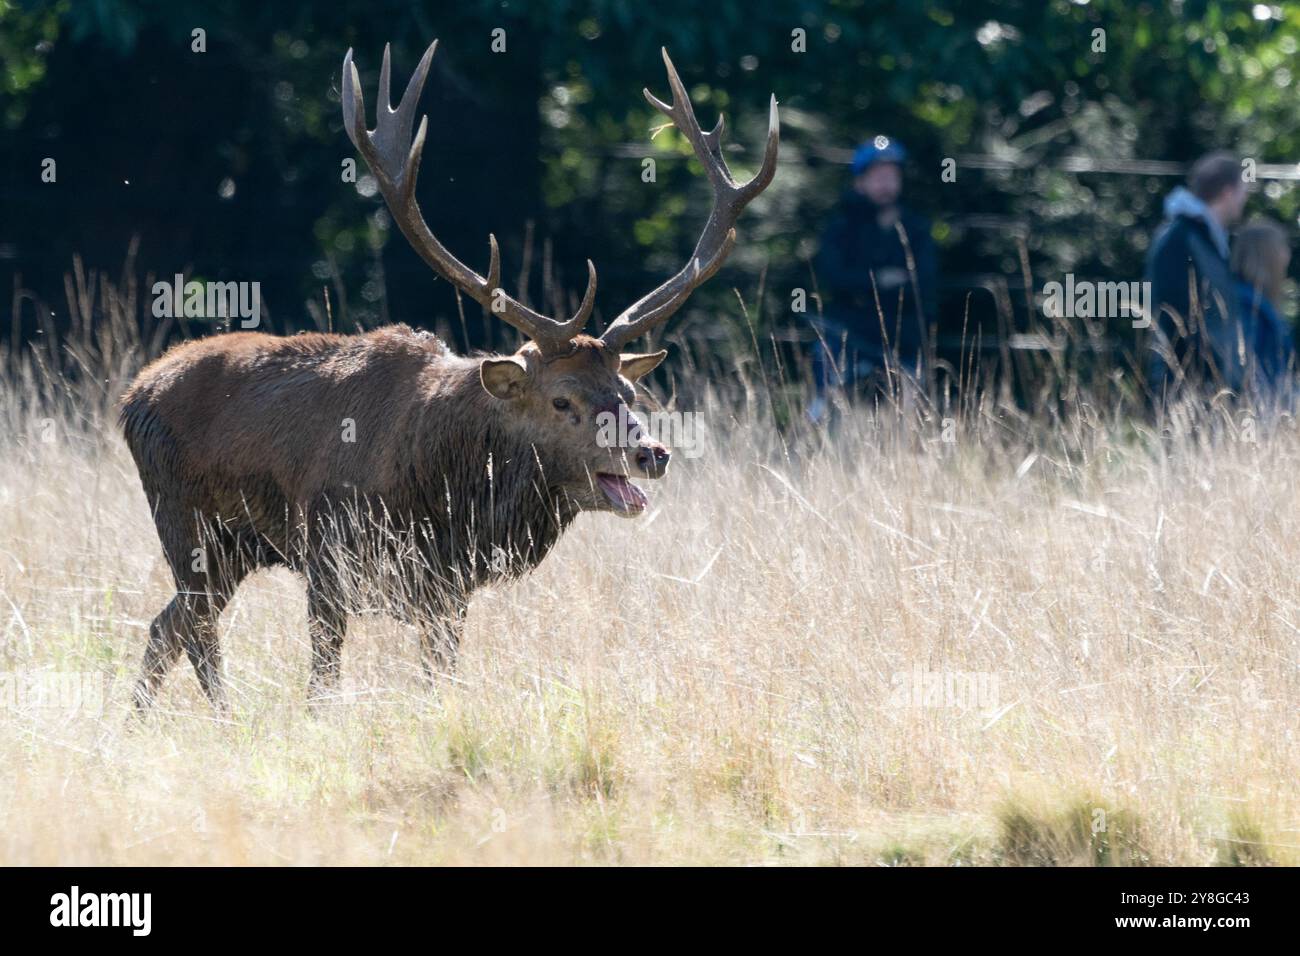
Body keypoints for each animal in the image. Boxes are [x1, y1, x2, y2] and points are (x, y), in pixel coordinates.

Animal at [120, 40, 778, 713]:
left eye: (628, 392)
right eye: (561, 400)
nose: (652, 453)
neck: (445, 497)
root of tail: (132, 394)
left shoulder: (448, 589)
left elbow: (440, 677)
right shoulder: (330, 556)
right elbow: (322, 684)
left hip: (232, 547)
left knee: (167, 626)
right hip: (185, 520)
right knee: (196, 631)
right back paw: (217, 718)